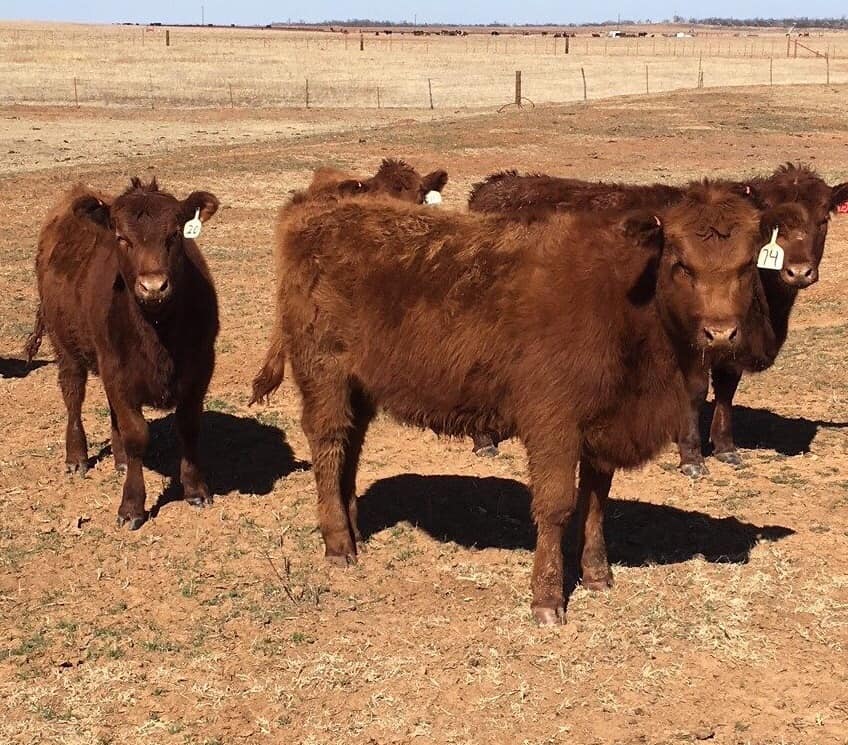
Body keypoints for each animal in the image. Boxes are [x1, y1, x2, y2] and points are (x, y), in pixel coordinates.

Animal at [24, 178, 220, 530]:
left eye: (175, 234)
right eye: (121, 238)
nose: (153, 286)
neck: (158, 332)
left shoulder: (199, 368)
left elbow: (188, 427)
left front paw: (195, 489)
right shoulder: (117, 370)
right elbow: (136, 435)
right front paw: (131, 506)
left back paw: (119, 461)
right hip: (66, 348)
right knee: (73, 396)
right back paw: (76, 457)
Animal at [253, 181, 765, 624]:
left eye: (746, 265)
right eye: (681, 263)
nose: (721, 333)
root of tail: (312, 207)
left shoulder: (603, 426)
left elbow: (596, 500)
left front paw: (597, 574)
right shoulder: (553, 422)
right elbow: (556, 505)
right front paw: (548, 598)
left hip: (360, 386)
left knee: (350, 447)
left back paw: (355, 529)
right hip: (324, 374)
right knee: (328, 445)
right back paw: (339, 543)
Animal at [468, 165, 848, 475]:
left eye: (823, 220)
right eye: (775, 227)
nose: (798, 272)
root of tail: (493, 186)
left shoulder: (731, 336)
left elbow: (727, 388)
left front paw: (725, 447)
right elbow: (695, 389)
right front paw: (691, 456)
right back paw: (483, 438)